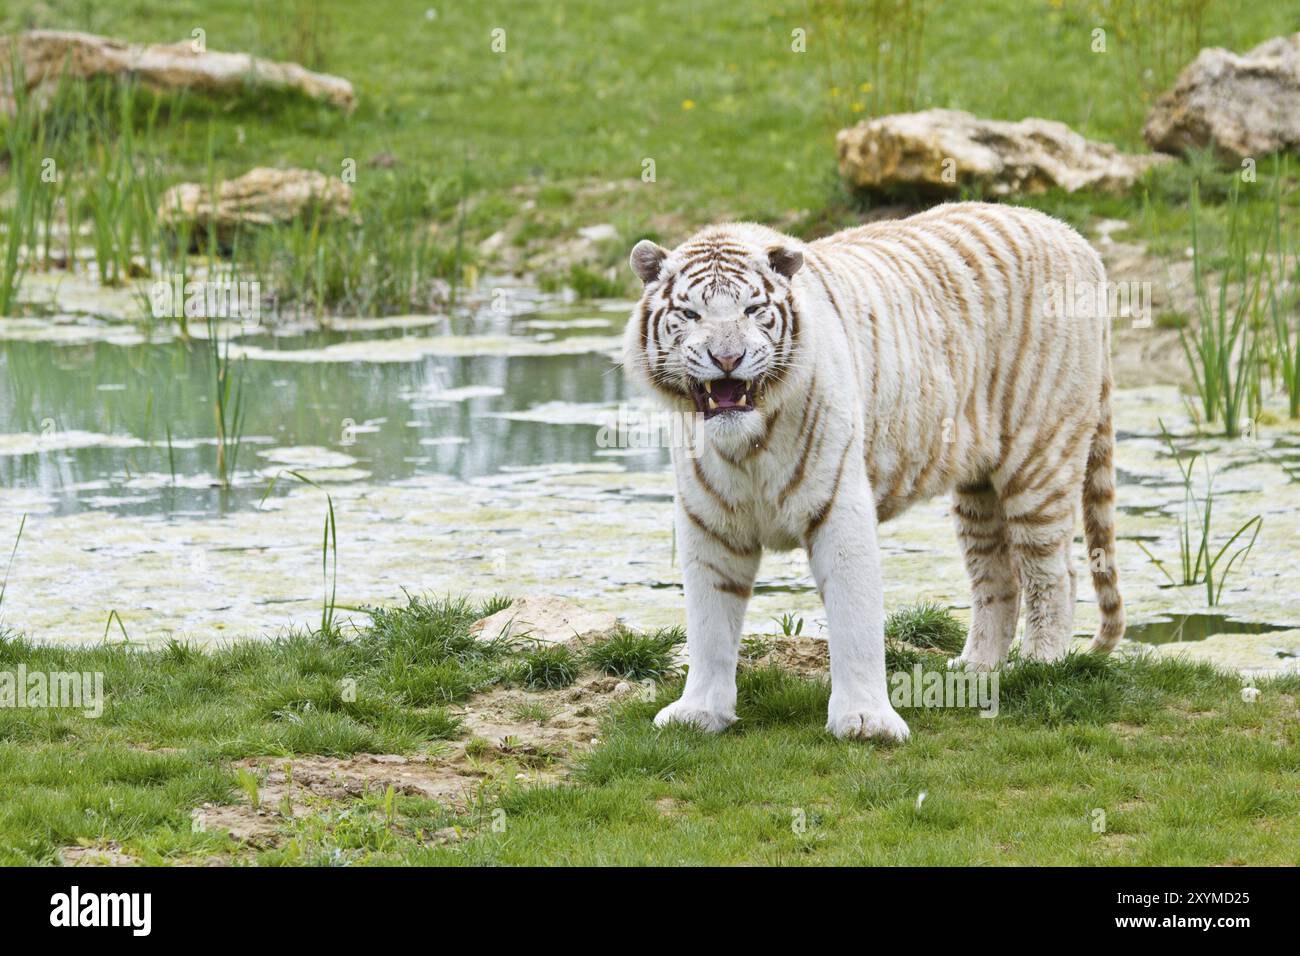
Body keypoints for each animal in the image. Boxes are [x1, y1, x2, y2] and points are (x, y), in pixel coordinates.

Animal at [622, 201, 1124, 741]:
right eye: (691, 314)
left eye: (753, 311)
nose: (727, 358)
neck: (749, 445)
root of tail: (1074, 236)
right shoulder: (709, 520)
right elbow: (709, 621)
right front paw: (698, 713)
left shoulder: (838, 505)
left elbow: (854, 617)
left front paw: (865, 721)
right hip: (977, 488)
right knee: (996, 575)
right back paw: (976, 669)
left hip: (1039, 459)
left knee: (1054, 571)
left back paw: (1040, 665)